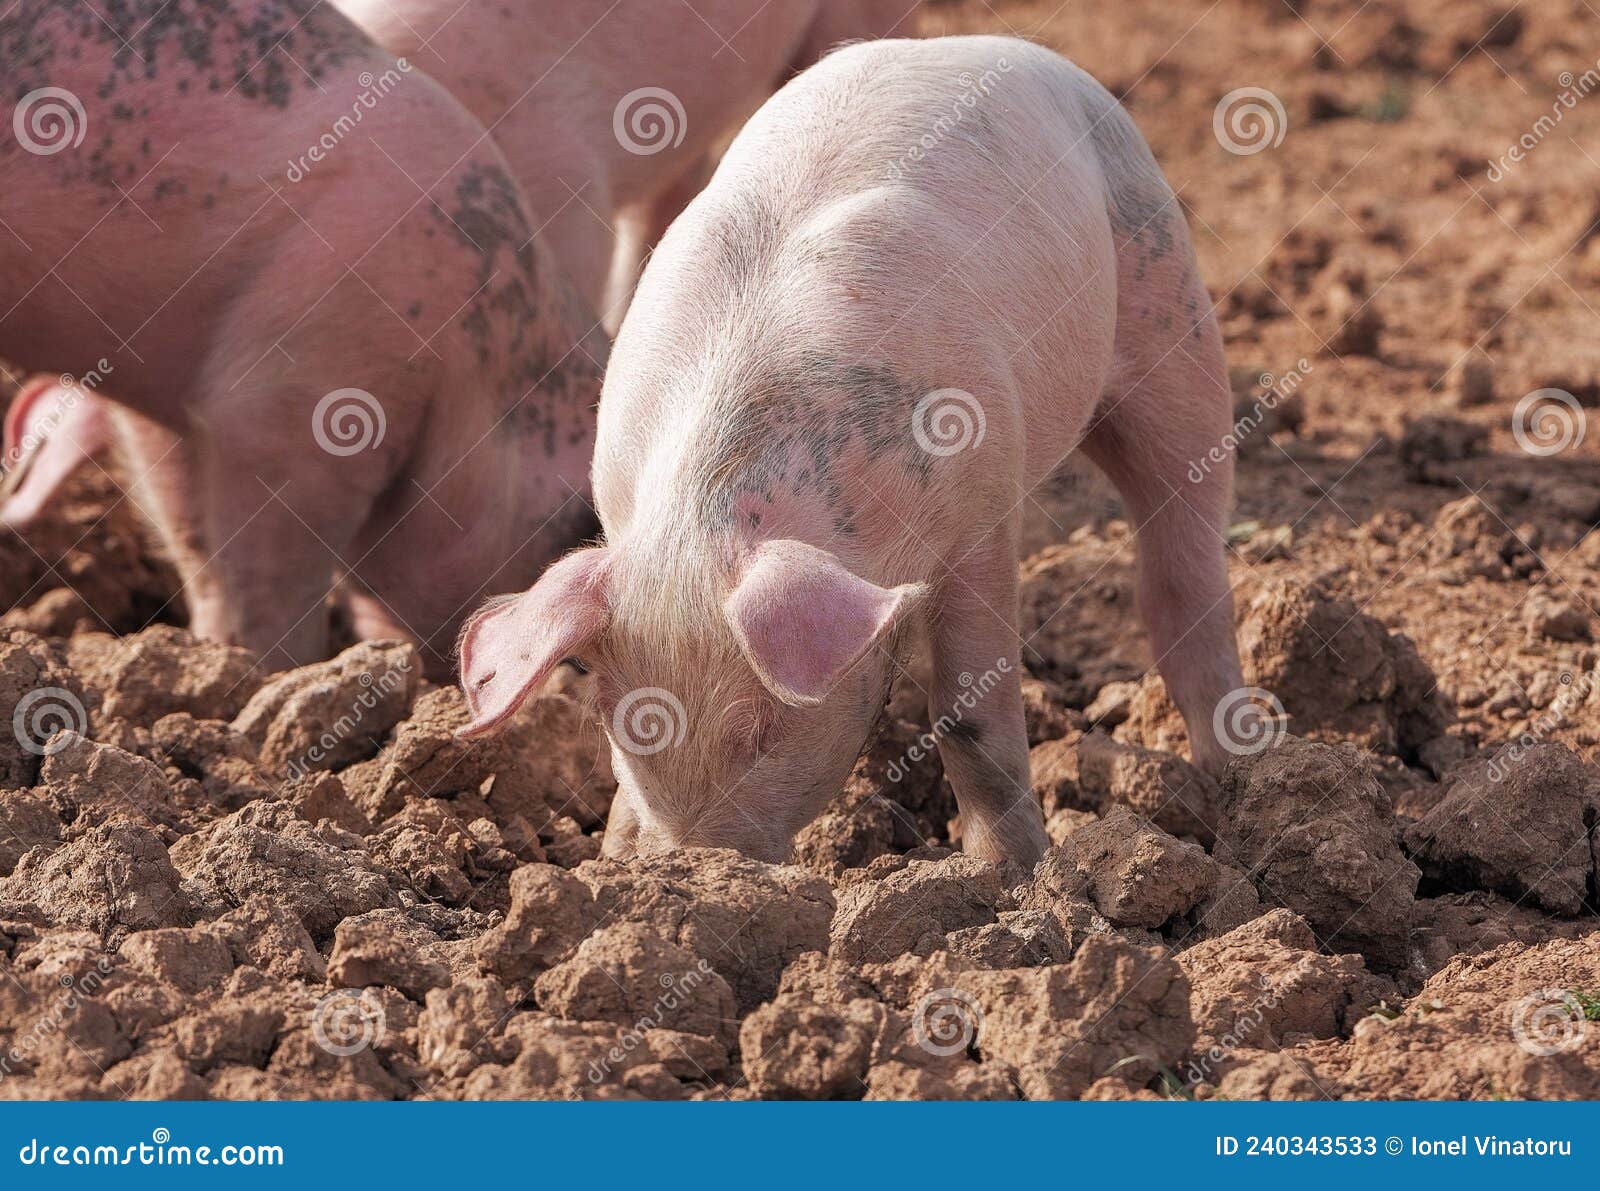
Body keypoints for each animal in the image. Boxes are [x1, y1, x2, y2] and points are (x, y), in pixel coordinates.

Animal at [0, 0, 606, 674]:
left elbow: (194, 538)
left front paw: (214, 649)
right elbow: (270, 563)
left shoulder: (175, 414)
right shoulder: (298, 391)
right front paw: (270, 671)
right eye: (574, 522)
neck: (476, 368)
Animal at [458, 35, 1250, 867]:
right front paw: (614, 856)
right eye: (618, 718)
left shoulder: (982, 508)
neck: (703, 516)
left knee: (1184, 552)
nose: (697, 862)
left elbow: (967, 707)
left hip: (1169, 299)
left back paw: (1233, 774)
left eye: (764, 728)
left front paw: (1013, 874)